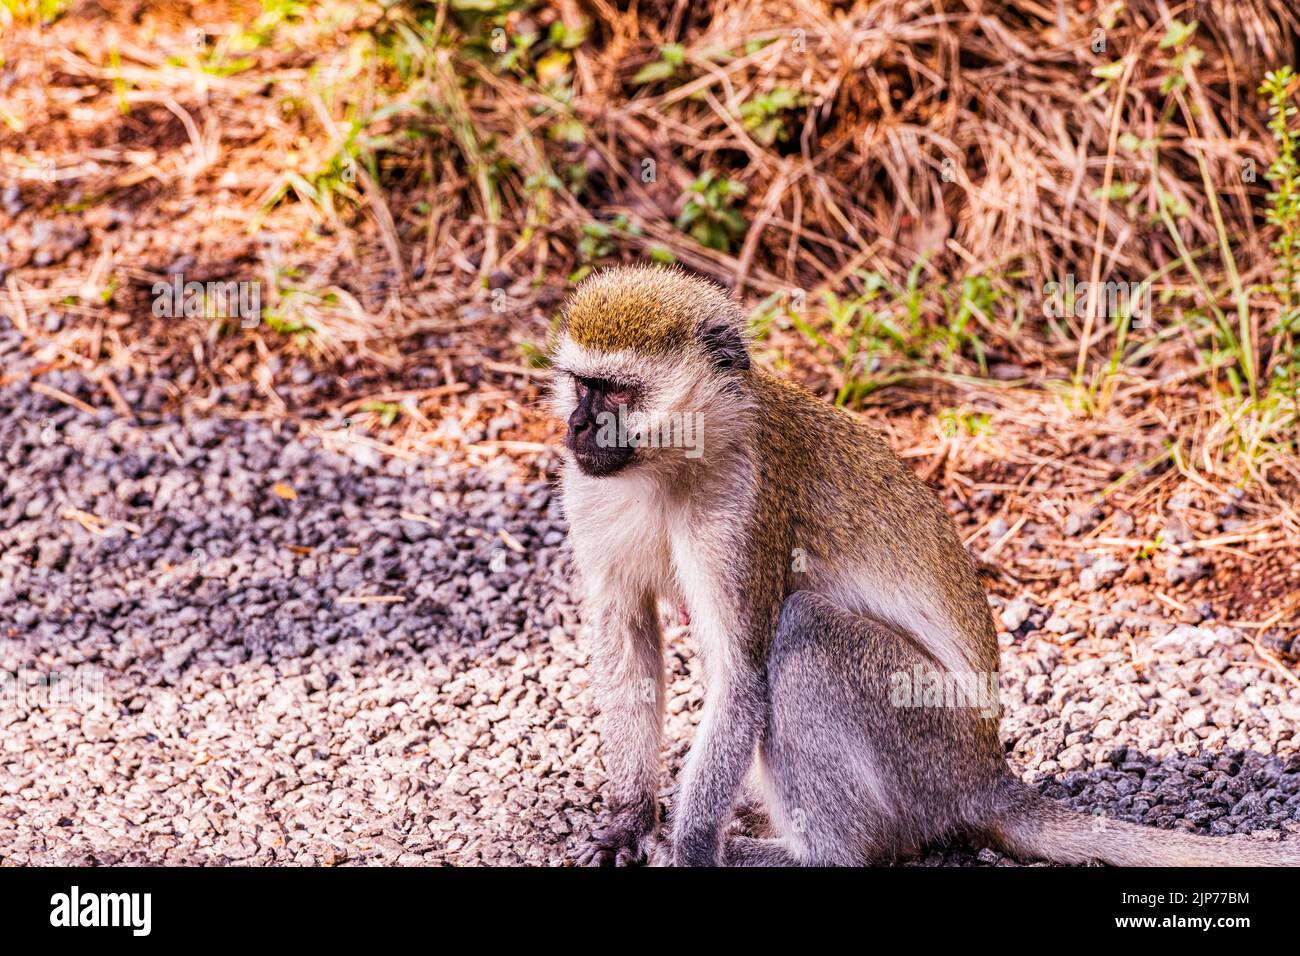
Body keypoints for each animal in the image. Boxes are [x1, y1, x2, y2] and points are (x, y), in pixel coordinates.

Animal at [550, 264, 1300, 867]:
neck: (672, 464)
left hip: (929, 748)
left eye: (617, 393)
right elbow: (627, 638)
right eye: (582, 387)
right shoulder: (589, 489)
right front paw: (625, 822)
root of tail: (986, 775)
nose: (577, 428)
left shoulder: (742, 511)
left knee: (808, 631)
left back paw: (813, 853)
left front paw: (691, 846)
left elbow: (741, 676)